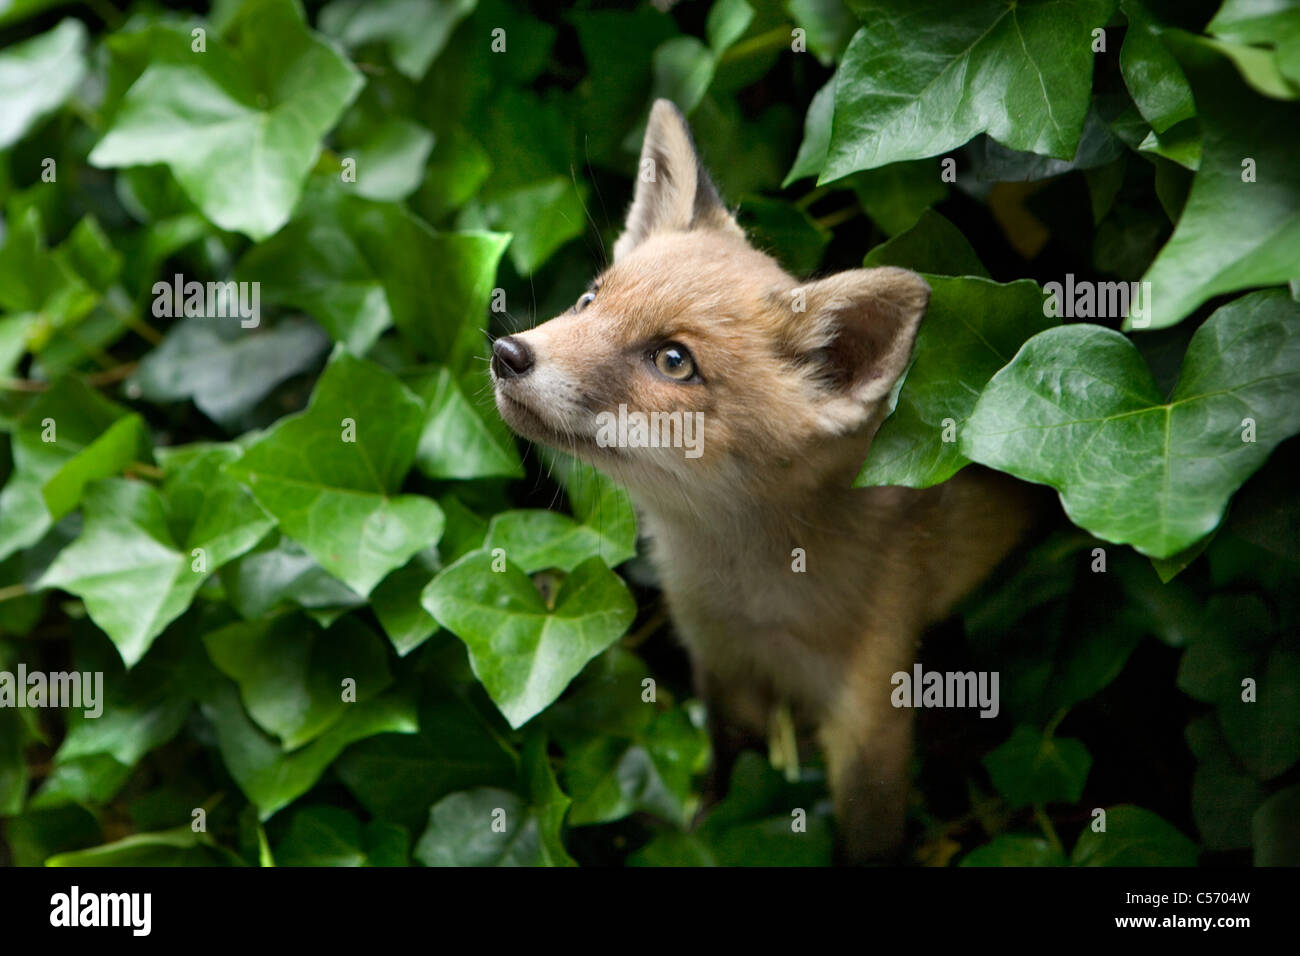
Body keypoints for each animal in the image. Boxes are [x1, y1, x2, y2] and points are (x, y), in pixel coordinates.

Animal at [488, 100, 1034, 863]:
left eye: (673, 361)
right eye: (590, 300)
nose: (508, 353)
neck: (751, 596)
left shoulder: (871, 713)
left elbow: (867, 840)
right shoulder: (721, 668)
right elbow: (728, 770)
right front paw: (707, 830)